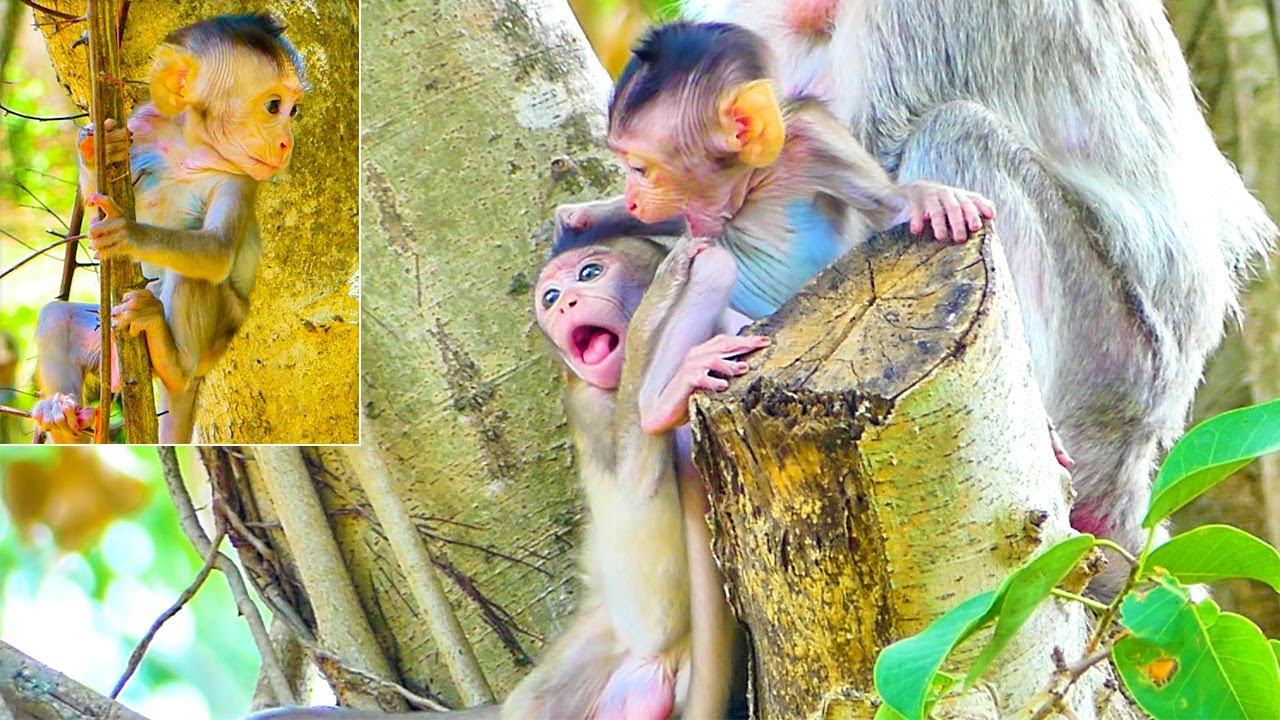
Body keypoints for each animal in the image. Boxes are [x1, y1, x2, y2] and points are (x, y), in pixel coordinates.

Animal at [30, 13, 305, 444]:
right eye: (274, 106)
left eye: (292, 111)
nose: (285, 143)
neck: (191, 147)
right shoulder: (144, 125)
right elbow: (96, 198)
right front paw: (95, 147)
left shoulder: (240, 181)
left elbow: (219, 251)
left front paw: (128, 233)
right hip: (105, 332)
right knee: (59, 316)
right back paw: (62, 418)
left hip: (218, 335)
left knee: (192, 275)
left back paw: (170, 361)